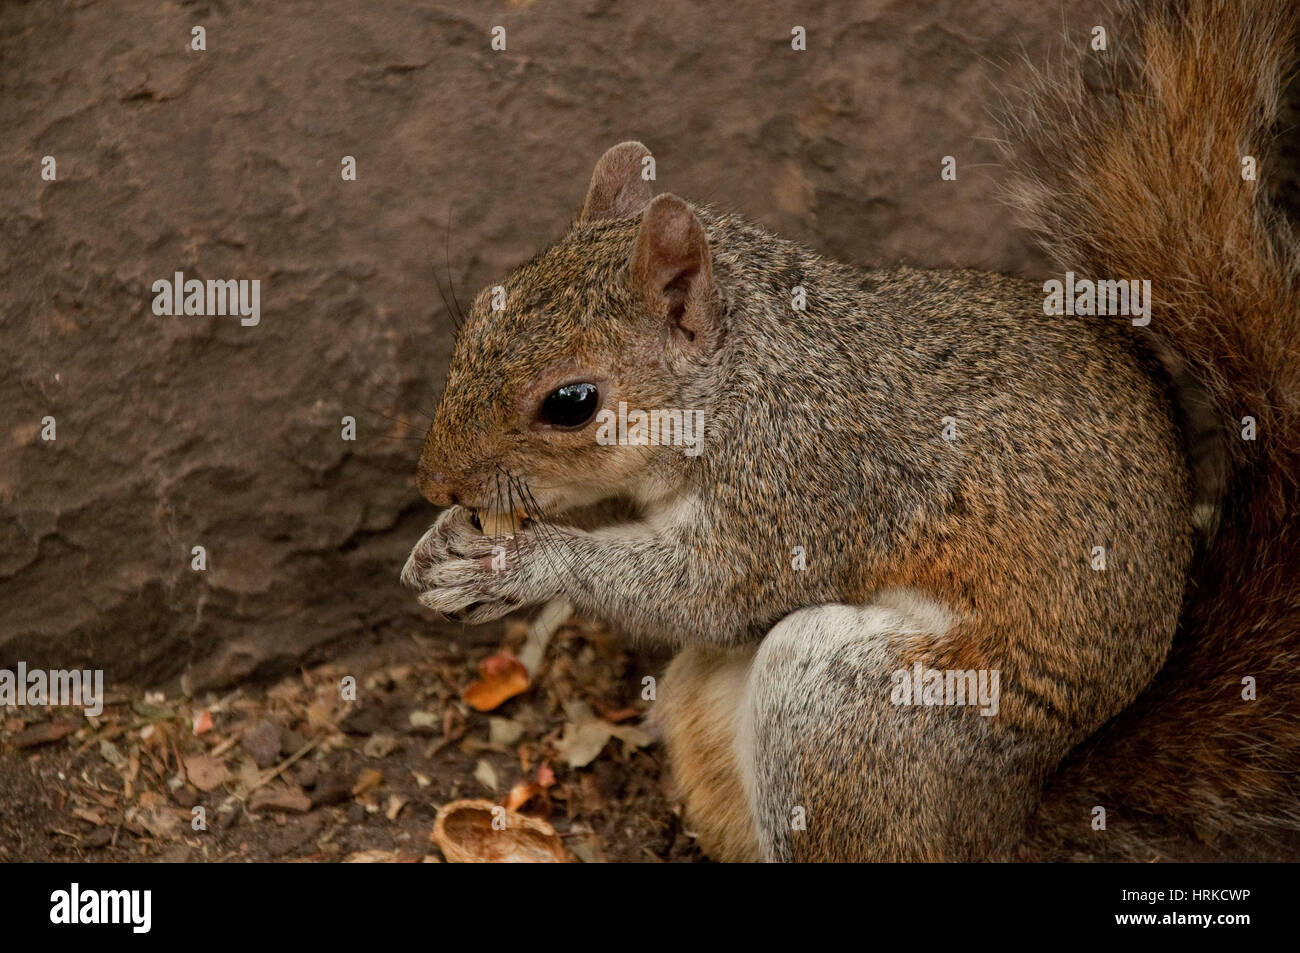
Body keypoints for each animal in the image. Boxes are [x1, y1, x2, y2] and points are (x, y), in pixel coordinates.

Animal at [401, 0, 1300, 861]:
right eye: (480, 307)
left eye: (572, 402)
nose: (434, 480)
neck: (744, 379)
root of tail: (1005, 822)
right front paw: (442, 542)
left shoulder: (804, 484)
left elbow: (707, 592)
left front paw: (522, 562)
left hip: (847, 707)